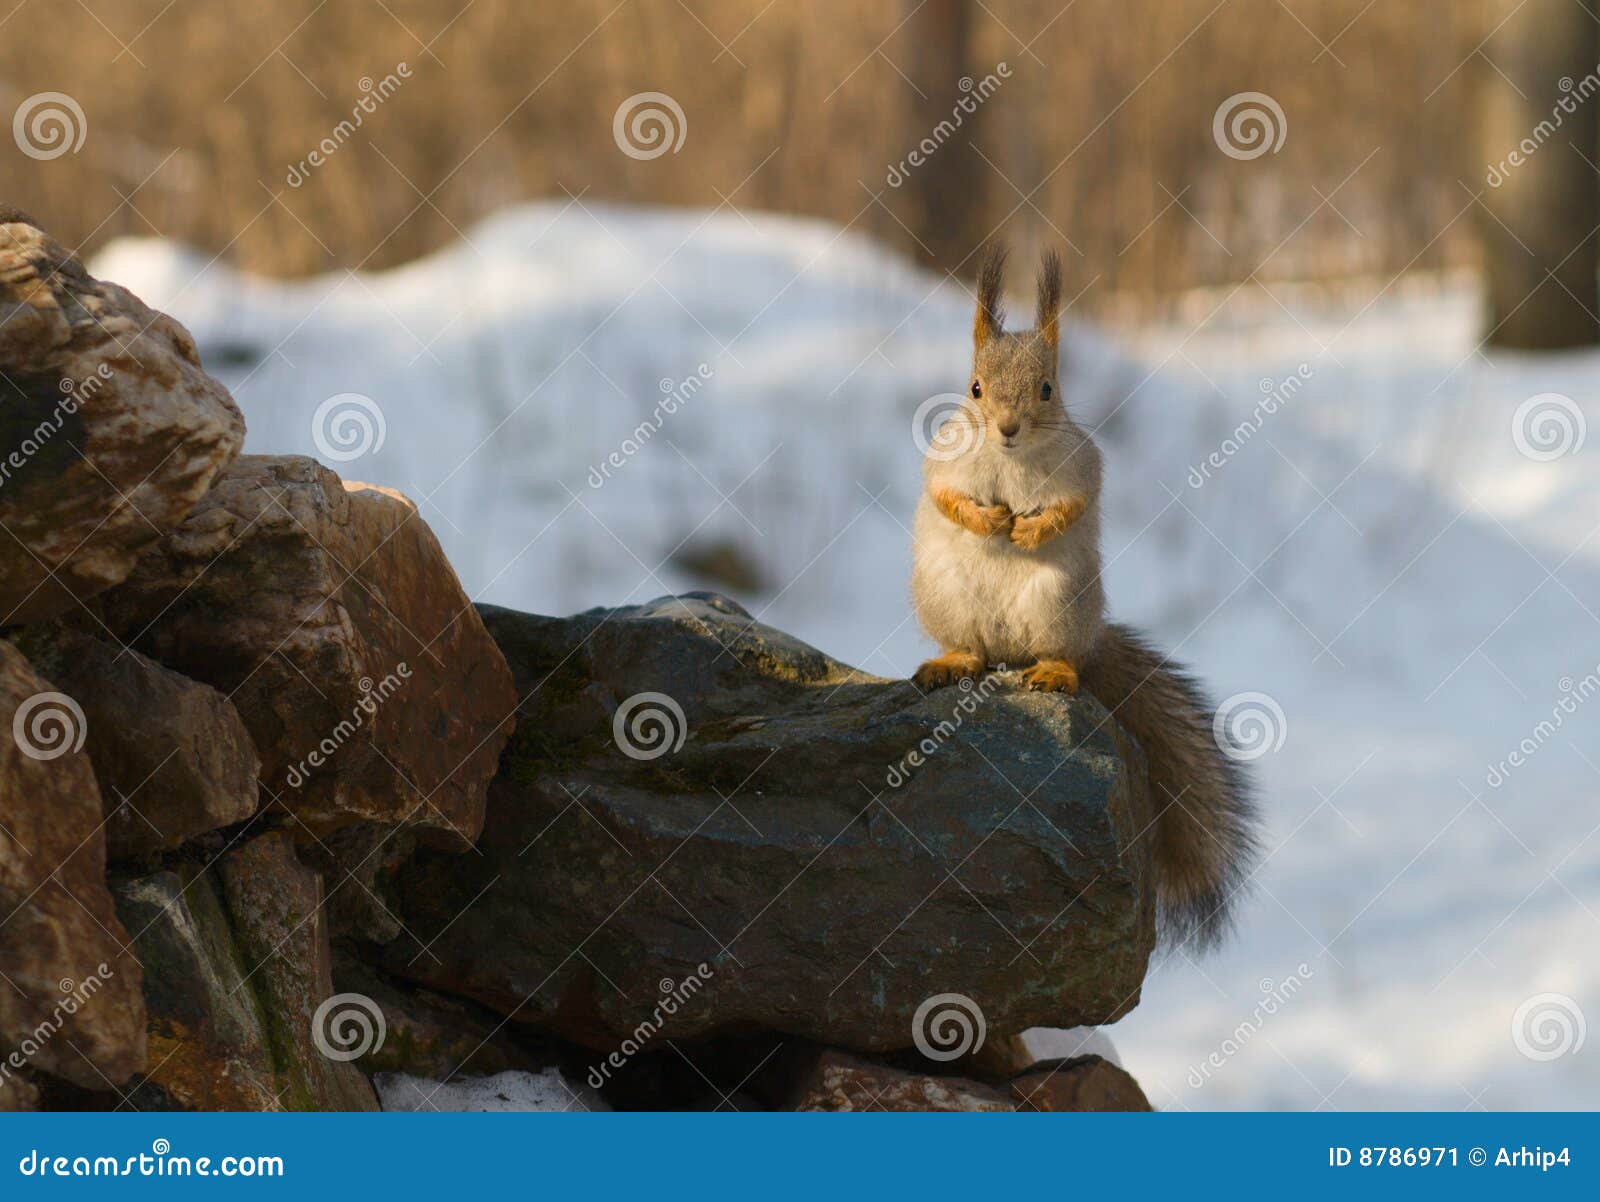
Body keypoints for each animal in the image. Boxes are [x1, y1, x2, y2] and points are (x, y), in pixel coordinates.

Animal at [910, 246, 1259, 949]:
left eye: (1049, 388)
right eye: (974, 389)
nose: (1008, 428)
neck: (1009, 462)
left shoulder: (1083, 466)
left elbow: (1074, 503)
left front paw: (1030, 529)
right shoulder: (942, 462)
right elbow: (947, 496)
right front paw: (987, 520)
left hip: (1060, 604)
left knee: (1059, 656)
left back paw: (1054, 671)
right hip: (951, 601)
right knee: (970, 650)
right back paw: (955, 662)